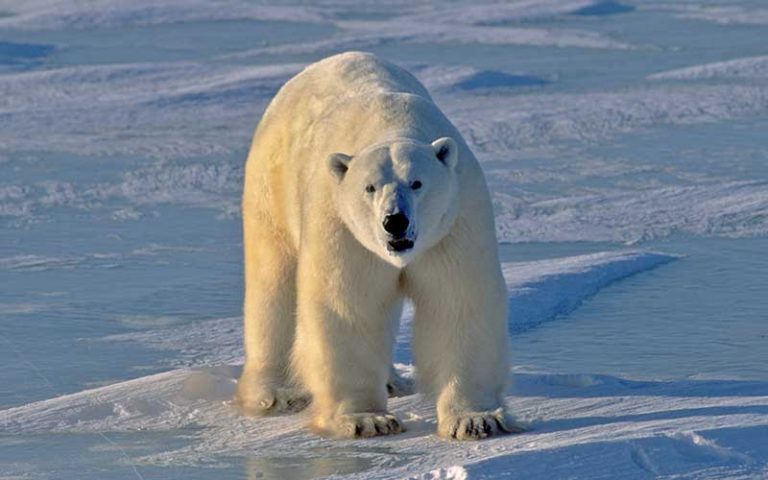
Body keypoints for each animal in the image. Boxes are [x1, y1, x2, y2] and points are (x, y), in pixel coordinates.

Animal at [235, 51, 520, 440]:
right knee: (273, 285)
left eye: (417, 183)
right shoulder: (341, 225)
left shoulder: (455, 221)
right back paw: (277, 392)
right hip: (271, 187)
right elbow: (347, 305)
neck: (389, 124)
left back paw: (392, 381)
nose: (394, 221)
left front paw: (476, 419)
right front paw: (367, 419)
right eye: (369, 187)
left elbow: (458, 301)